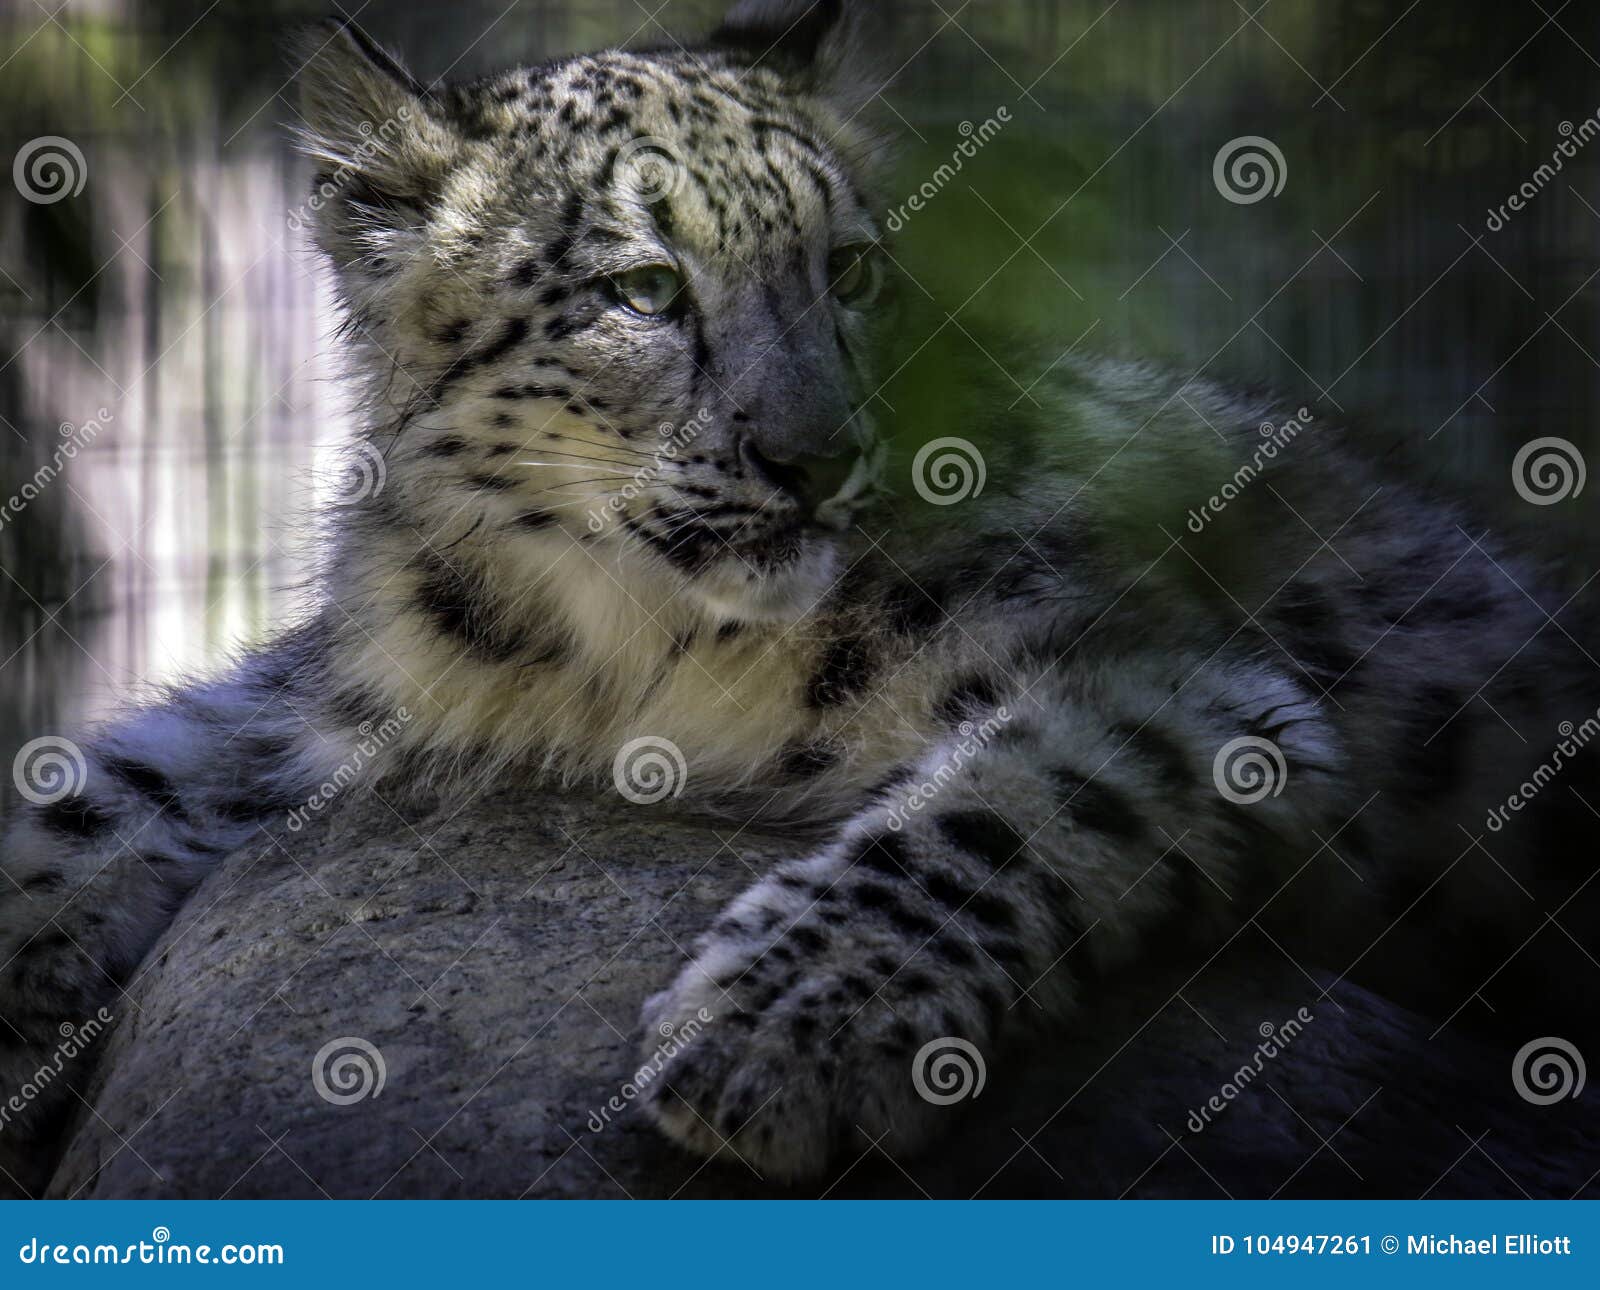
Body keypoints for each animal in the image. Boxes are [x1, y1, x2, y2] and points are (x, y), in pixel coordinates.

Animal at [1, 0, 1596, 1192]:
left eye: (854, 269)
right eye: (643, 289)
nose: (818, 454)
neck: (617, 653)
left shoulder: (1178, 683)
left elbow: (996, 805)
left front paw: (775, 1037)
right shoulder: (341, 701)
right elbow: (114, 781)